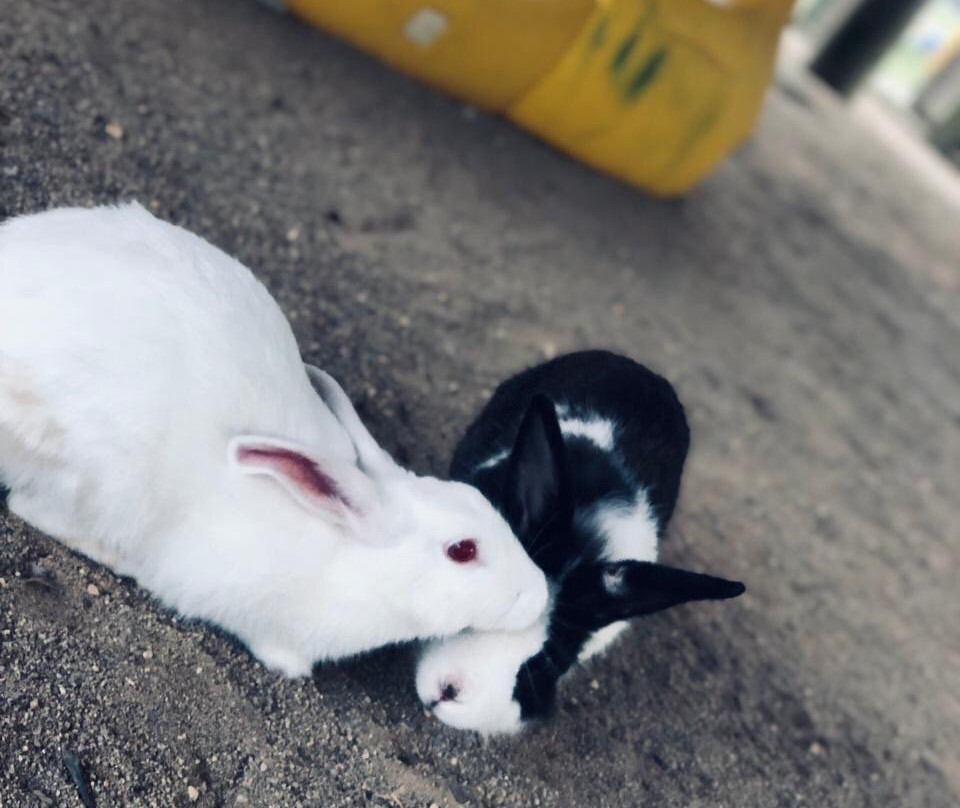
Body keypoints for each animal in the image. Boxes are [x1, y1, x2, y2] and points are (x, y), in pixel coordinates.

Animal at [0, 203, 548, 677]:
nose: (541, 594)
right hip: (100, 479)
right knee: (34, 507)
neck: (347, 558)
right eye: (462, 550)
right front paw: (290, 666)